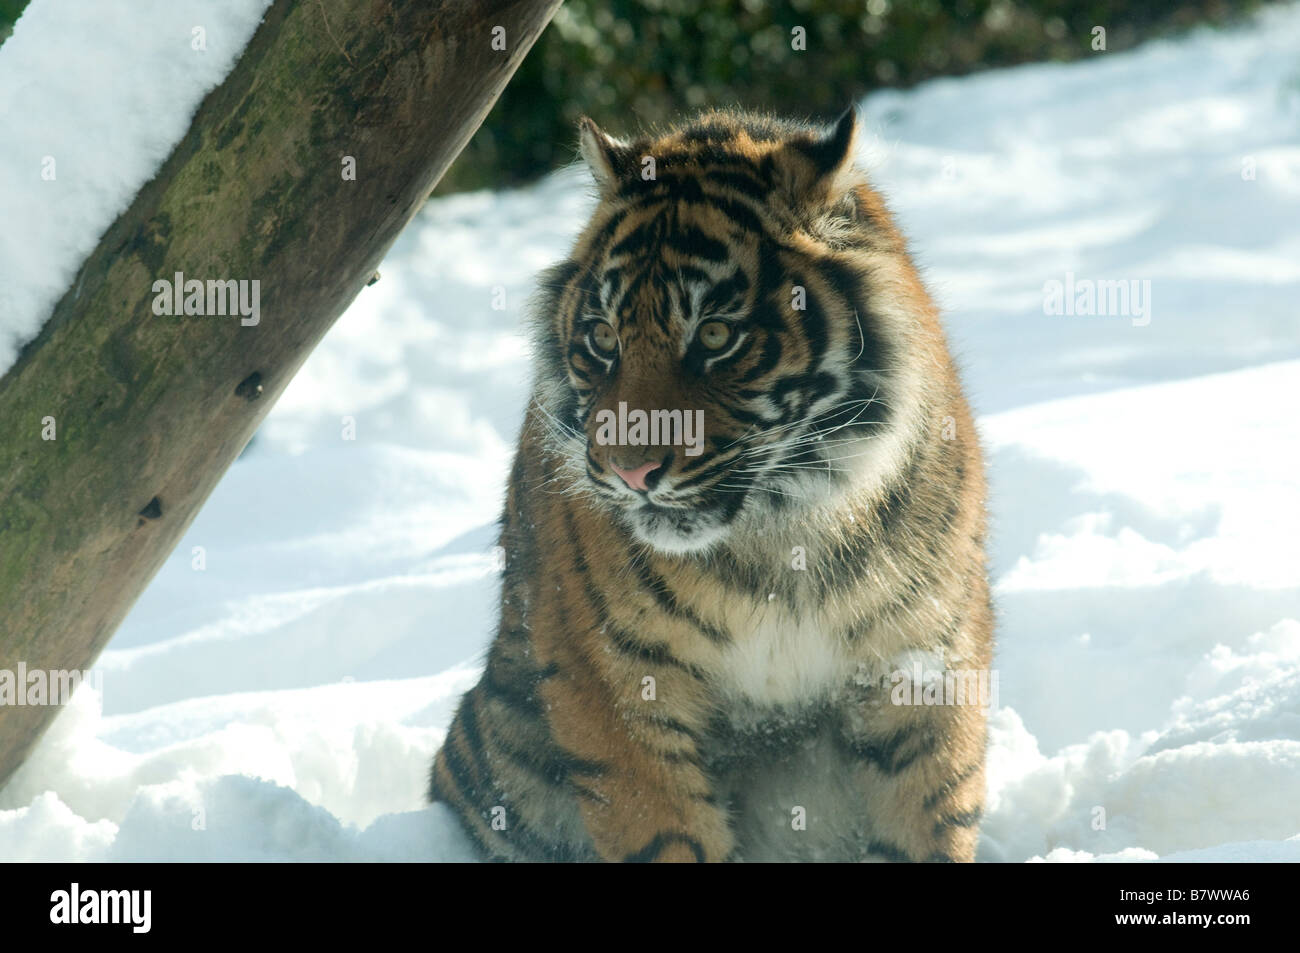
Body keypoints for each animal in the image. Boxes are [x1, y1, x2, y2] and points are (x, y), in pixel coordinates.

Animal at [428, 108, 994, 863]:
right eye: (602, 338)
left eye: (717, 336)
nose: (630, 471)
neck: (781, 534)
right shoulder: (615, 684)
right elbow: (664, 830)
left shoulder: (922, 659)